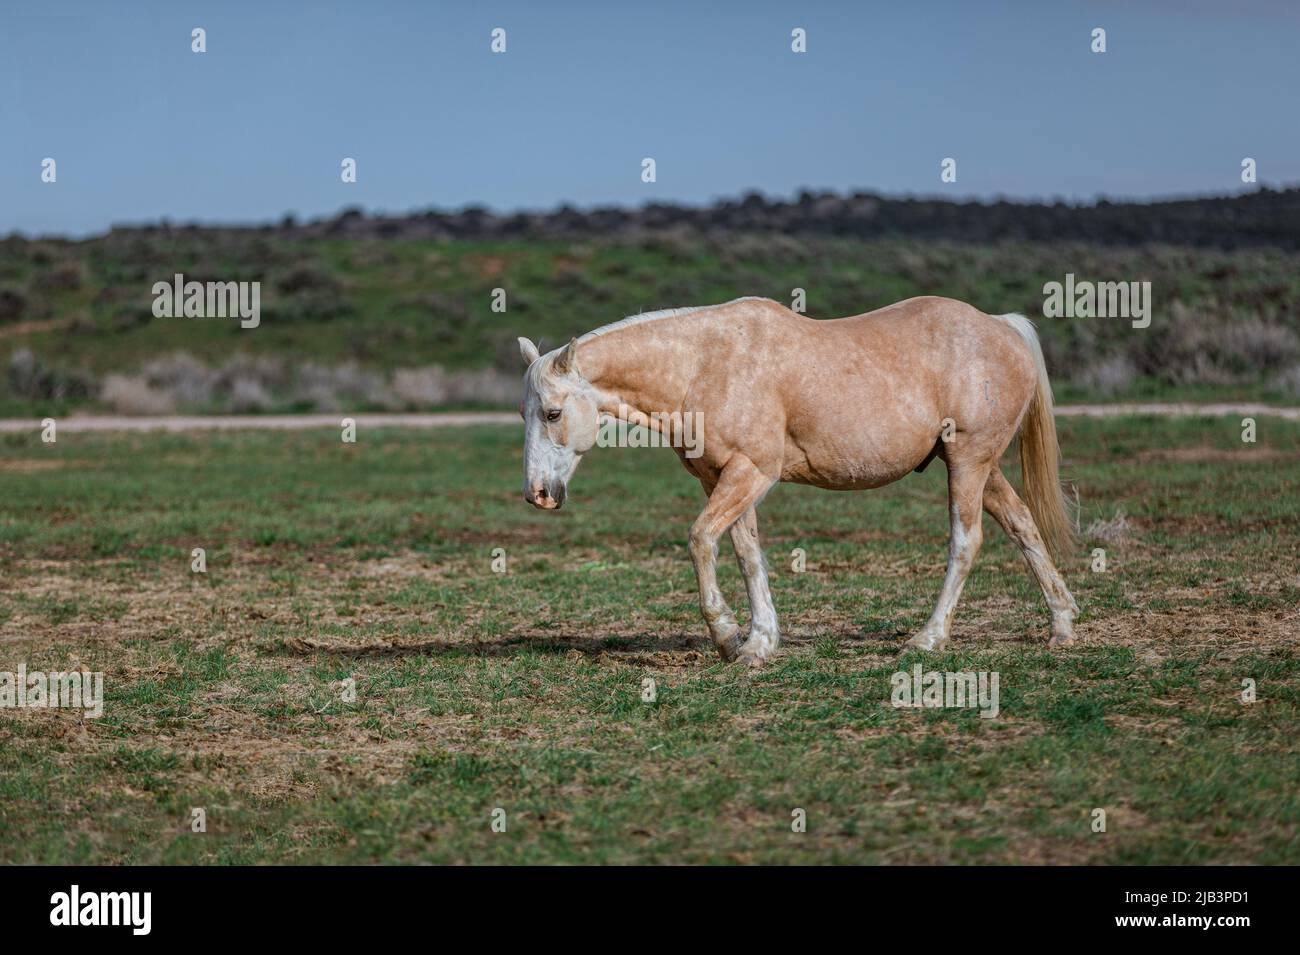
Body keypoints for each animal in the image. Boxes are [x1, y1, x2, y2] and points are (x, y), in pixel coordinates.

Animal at [517, 295, 1078, 666]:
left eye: (552, 413)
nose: (537, 494)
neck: (704, 365)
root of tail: (1002, 327)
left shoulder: (751, 473)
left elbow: (702, 540)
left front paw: (727, 636)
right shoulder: (723, 480)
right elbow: (747, 553)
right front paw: (758, 641)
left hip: (968, 463)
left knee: (967, 541)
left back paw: (928, 637)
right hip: (981, 468)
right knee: (1023, 526)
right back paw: (1062, 623)